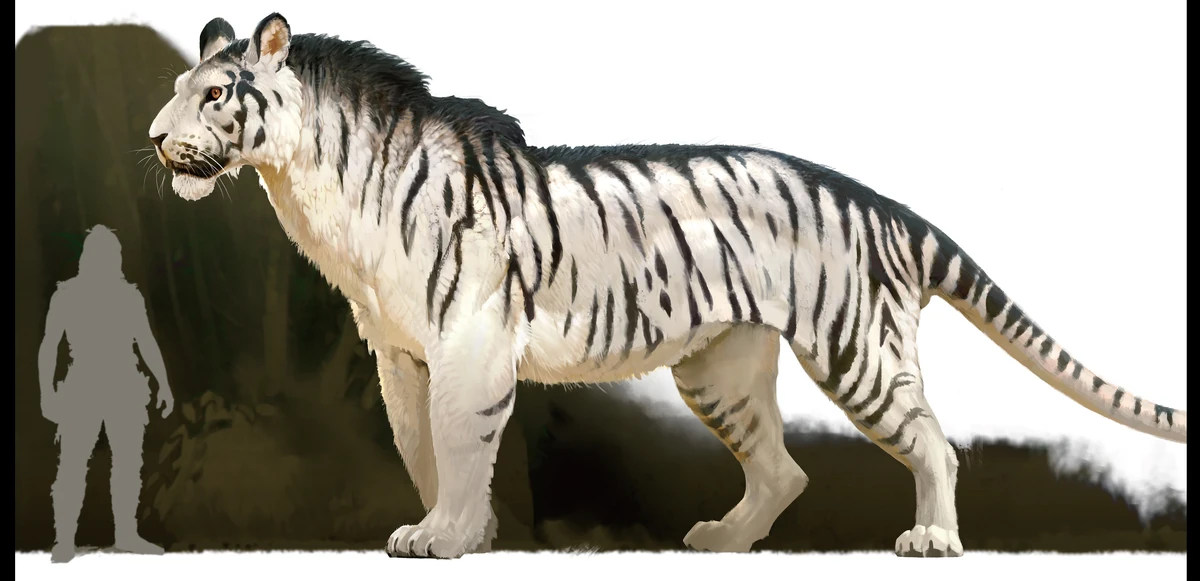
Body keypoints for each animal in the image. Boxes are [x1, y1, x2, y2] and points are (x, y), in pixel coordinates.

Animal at [148, 13, 1187, 559]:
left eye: (215, 94)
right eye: (178, 87)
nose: (156, 139)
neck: (316, 191)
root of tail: (879, 201)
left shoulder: (470, 343)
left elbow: (461, 443)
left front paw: (445, 535)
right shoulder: (399, 353)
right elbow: (420, 446)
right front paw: (452, 528)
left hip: (855, 346)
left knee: (932, 438)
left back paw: (931, 539)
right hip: (720, 370)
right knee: (784, 467)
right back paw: (722, 539)